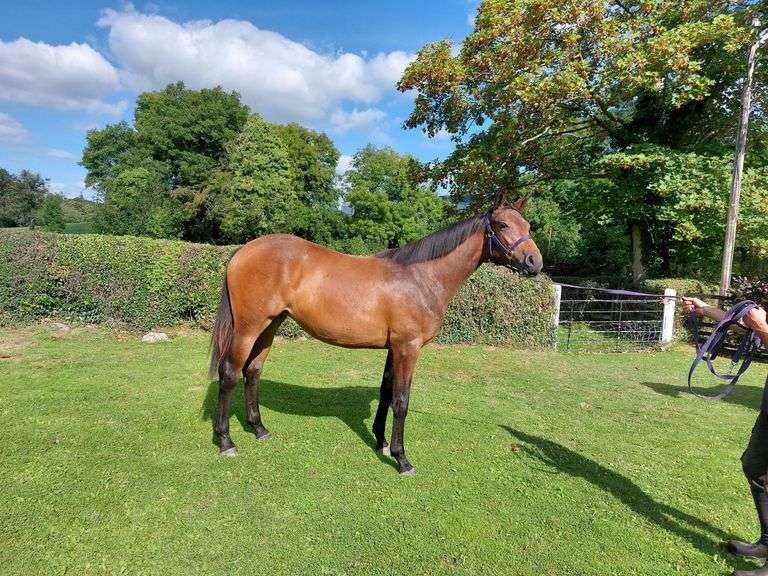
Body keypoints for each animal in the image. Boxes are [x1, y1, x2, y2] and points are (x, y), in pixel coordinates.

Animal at [209, 193, 543, 475]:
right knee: (230, 373)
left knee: (253, 372)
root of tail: (244, 250)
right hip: (248, 328)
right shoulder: (409, 346)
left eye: (527, 225)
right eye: (502, 225)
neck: (421, 277)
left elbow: (386, 391)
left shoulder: (394, 347)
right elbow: (402, 400)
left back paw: (259, 429)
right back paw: (226, 442)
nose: (534, 262)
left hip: (270, 326)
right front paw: (402, 459)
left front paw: (381, 442)